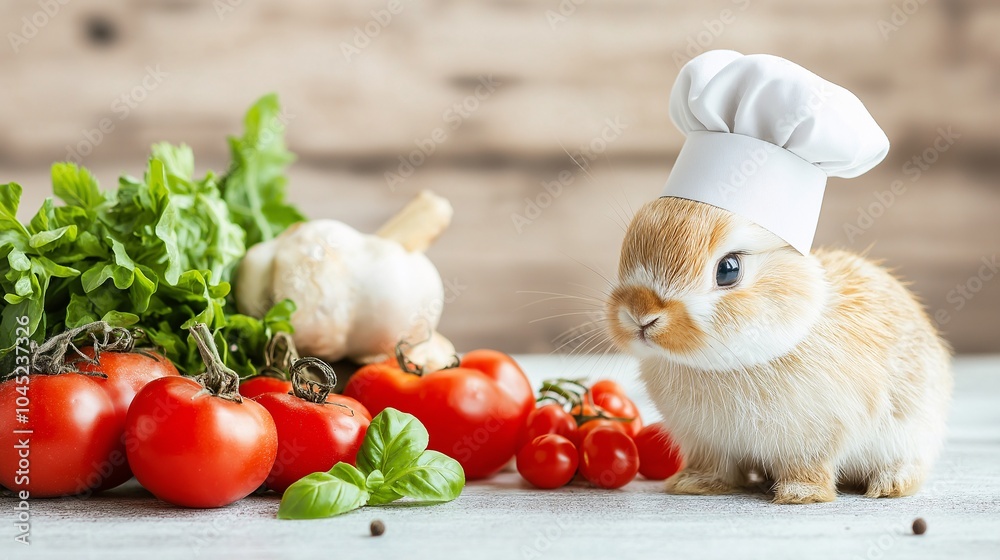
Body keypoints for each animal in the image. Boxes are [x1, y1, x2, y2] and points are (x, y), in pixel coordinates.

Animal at [606, 196, 953, 504]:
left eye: (728, 270)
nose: (640, 315)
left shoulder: (813, 438)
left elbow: (806, 467)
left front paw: (801, 495)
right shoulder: (707, 443)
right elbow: (714, 466)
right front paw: (693, 484)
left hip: (911, 432)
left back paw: (889, 485)